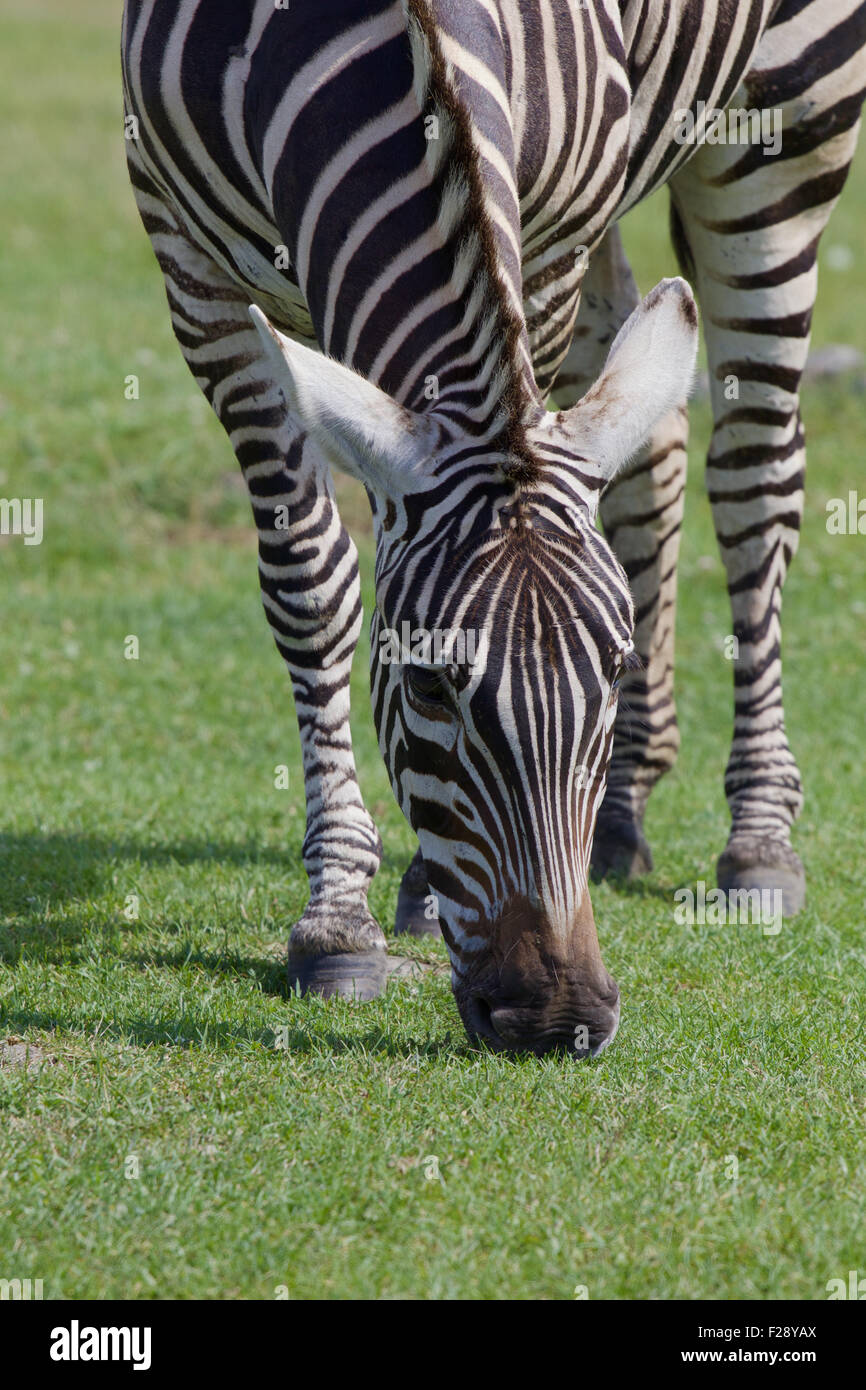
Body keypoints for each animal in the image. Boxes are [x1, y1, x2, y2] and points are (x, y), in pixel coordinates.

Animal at [121, 0, 865, 1056]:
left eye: (609, 668)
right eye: (429, 686)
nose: (559, 1023)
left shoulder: (547, 243)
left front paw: (414, 893)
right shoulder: (187, 261)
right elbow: (310, 578)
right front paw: (336, 916)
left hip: (789, 127)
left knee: (755, 471)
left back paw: (758, 835)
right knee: (652, 429)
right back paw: (625, 809)